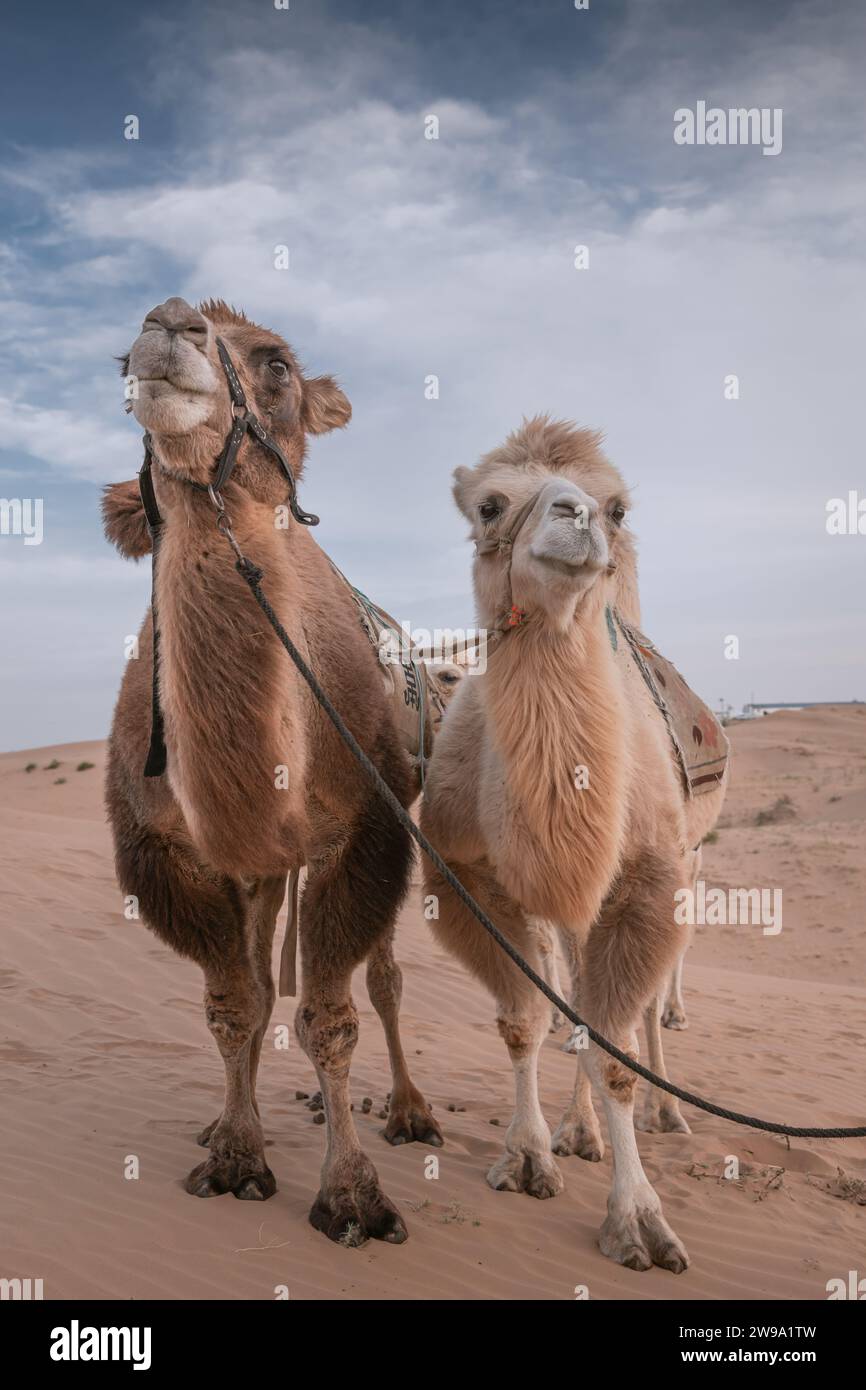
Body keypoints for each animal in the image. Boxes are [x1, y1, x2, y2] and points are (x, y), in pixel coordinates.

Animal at [102, 296, 442, 1246]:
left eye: (279, 363)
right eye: (119, 358)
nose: (168, 321)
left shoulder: (365, 836)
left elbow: (328, 1017)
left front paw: (354, 1197)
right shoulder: (169, 851)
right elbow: (236, 1004)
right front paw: (234, 1156)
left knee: (385, 979)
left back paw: (405, 1112)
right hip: (258, 874)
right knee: (258, 984)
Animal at [420, 417, 725, 1272]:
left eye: (617, 508)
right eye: (490, 505)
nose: (578, 517)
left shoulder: (647, 882)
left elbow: (614, 1047)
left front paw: (640, 1221)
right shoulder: (472, 877)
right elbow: (525, 1019)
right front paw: (528, 1155)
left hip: (685, 863)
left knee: (638, 1005)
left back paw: (664, 1109)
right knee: (576, 999)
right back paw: (578, 1132)